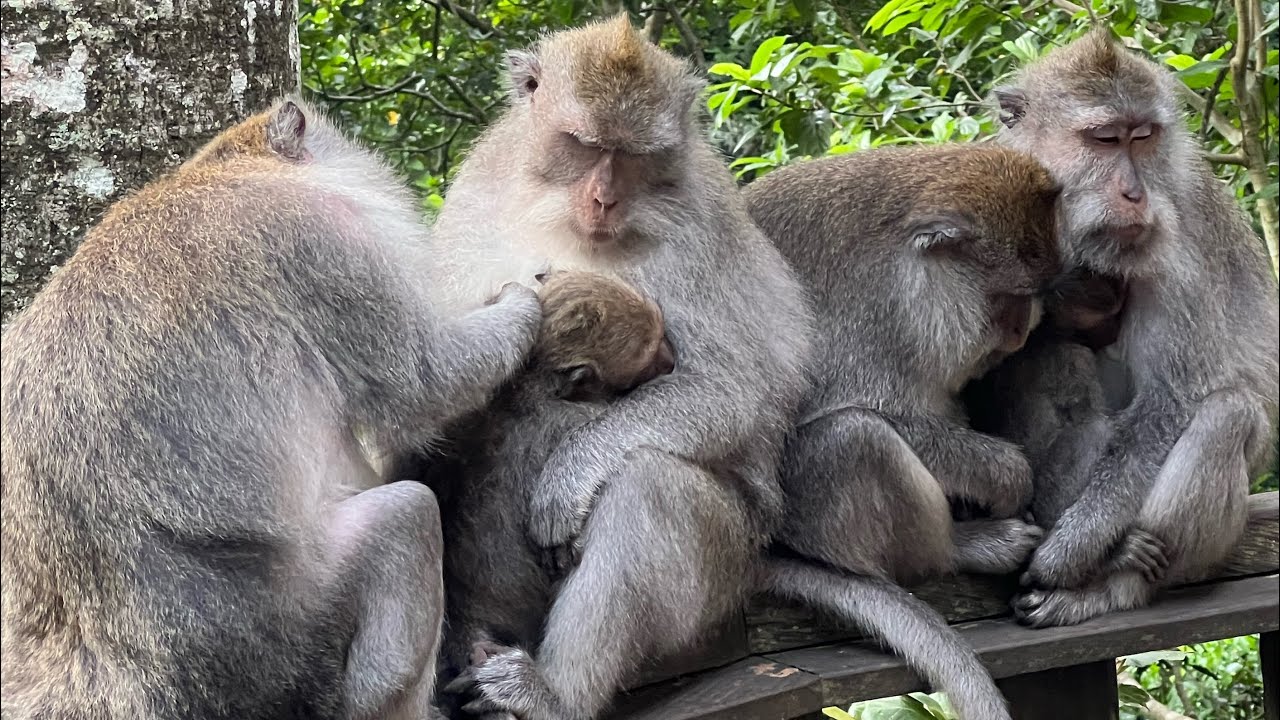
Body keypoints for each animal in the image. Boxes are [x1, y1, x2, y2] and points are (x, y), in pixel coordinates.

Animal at [0, 96, 543, 720]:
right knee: (407, 514)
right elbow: (425, 381)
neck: (228, 172)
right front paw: (526, 298)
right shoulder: (320, 235)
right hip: (291, 634)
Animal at [744, 144, 1063, 720]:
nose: (1018, 333)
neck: (907, 277)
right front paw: (1008, 474)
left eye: (1036, 296)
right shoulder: (870, 315)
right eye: (1008, 297)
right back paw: (960, 547)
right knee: (853, 439)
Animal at [973, 27, 1279, 628]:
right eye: (1105, 140)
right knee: (1057, 361)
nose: (1135, 194)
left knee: (1228, 413)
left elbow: (1170, 400)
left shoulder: (1174, 246)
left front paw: (1066, 555)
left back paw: (1114, 583)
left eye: (1143, 137)